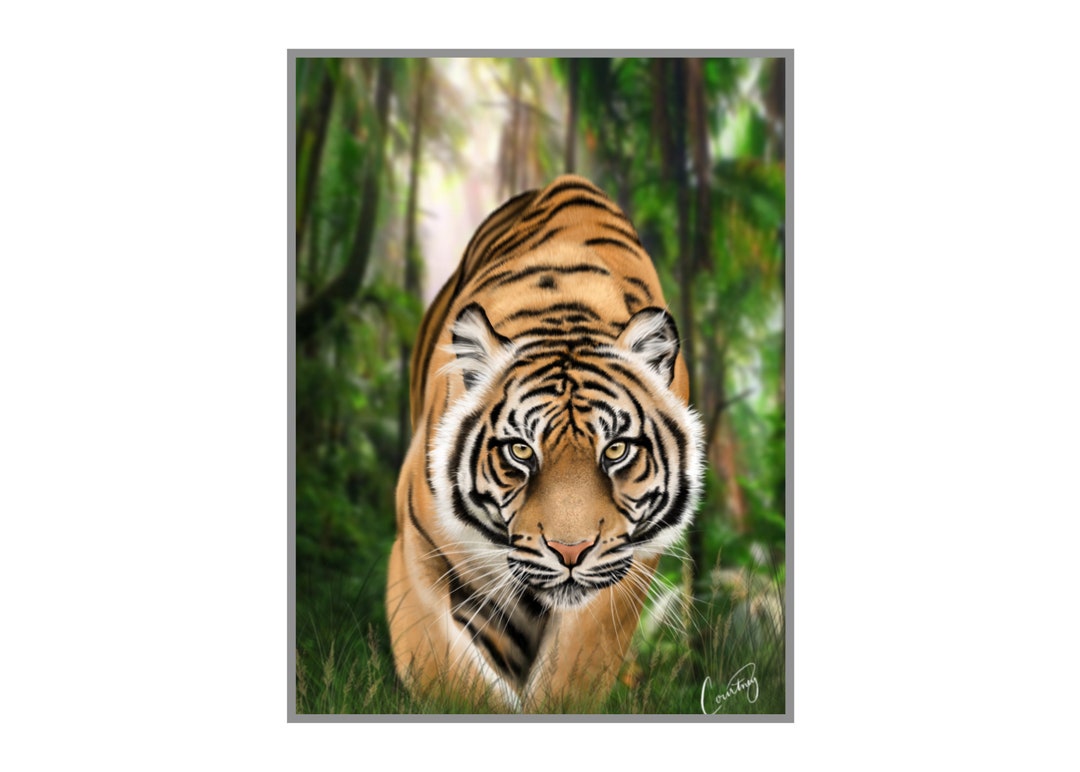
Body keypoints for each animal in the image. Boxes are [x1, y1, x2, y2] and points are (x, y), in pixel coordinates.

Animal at [386, 174, 704, 712]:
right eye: (521, 451)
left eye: (615, 450)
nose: (570, 552)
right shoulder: (417, 551)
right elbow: (447, 672)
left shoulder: (626, 566)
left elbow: (574, 672)